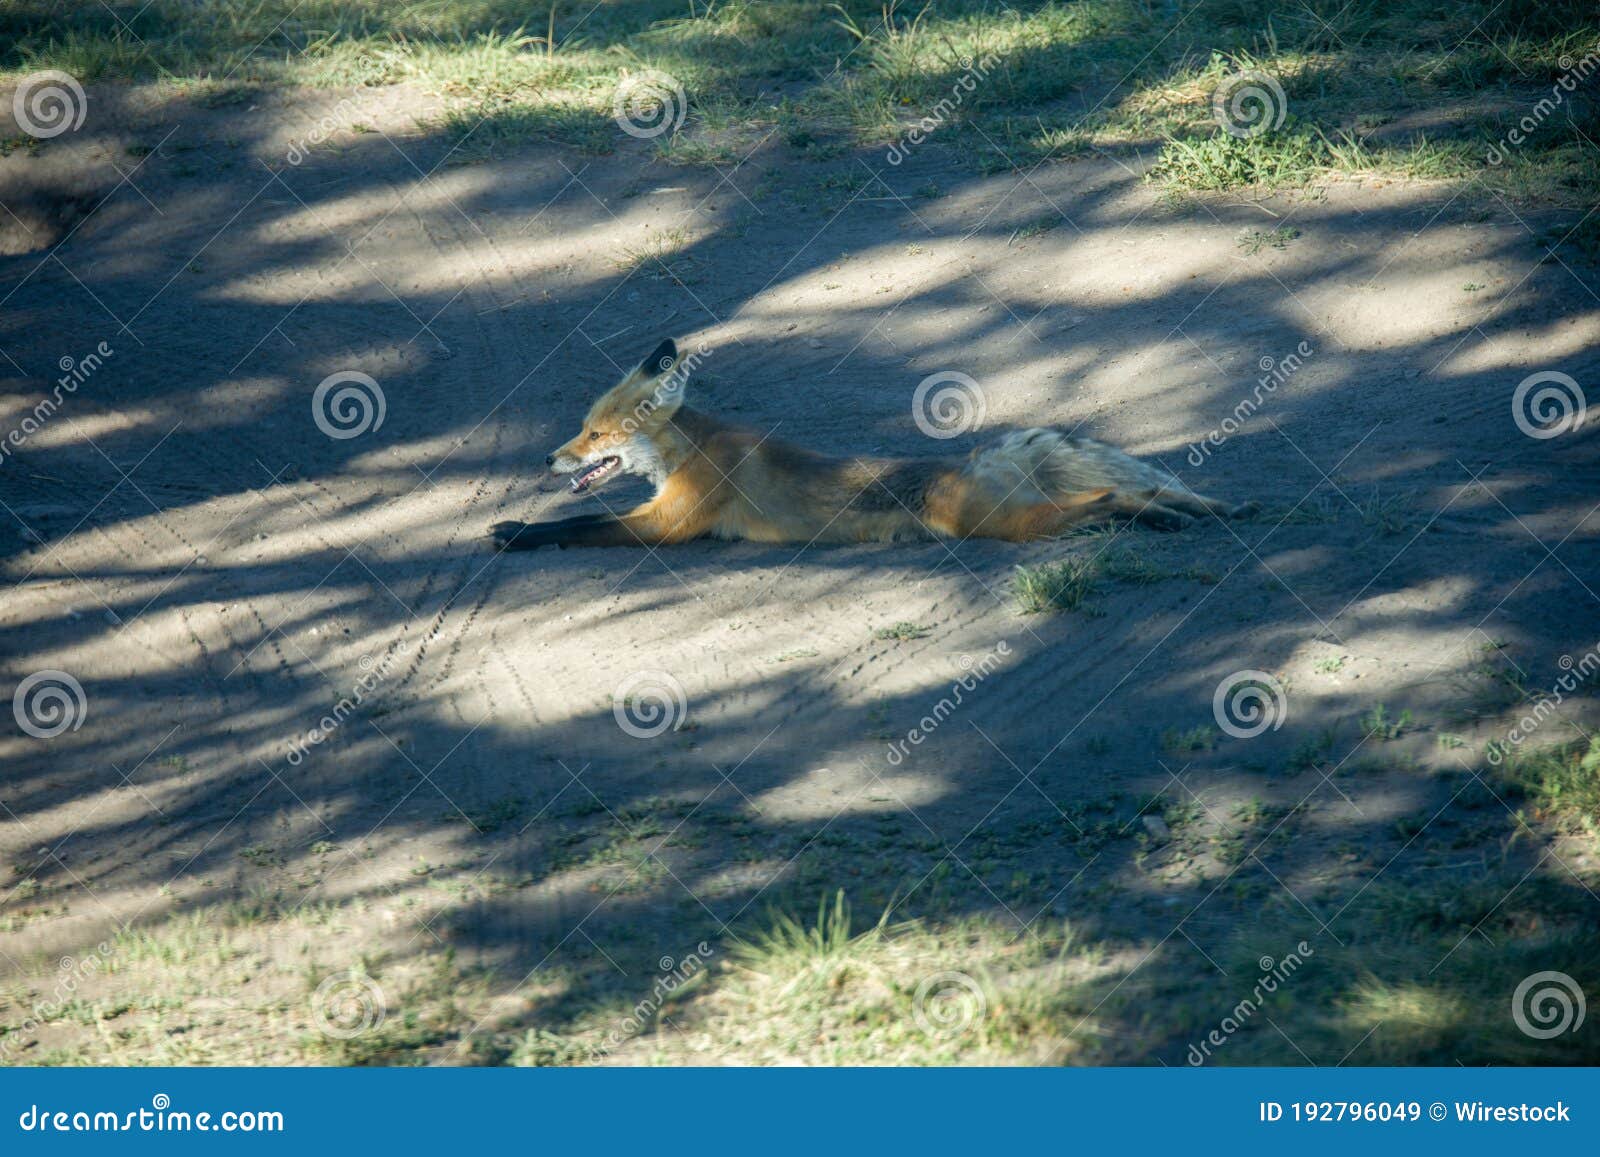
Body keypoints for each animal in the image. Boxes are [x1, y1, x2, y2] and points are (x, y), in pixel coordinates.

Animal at [490, 338, 1256, 551]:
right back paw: (1198, 511)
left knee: (1106, 499)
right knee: (1132, 487)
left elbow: (578, 523)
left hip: (1001, 523)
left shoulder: (667, 525)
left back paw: (1164, 519)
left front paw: (516, 531)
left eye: (594, 433)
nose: (548, 458)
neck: (691, 451)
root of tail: (980, 457)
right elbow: (580, 513)